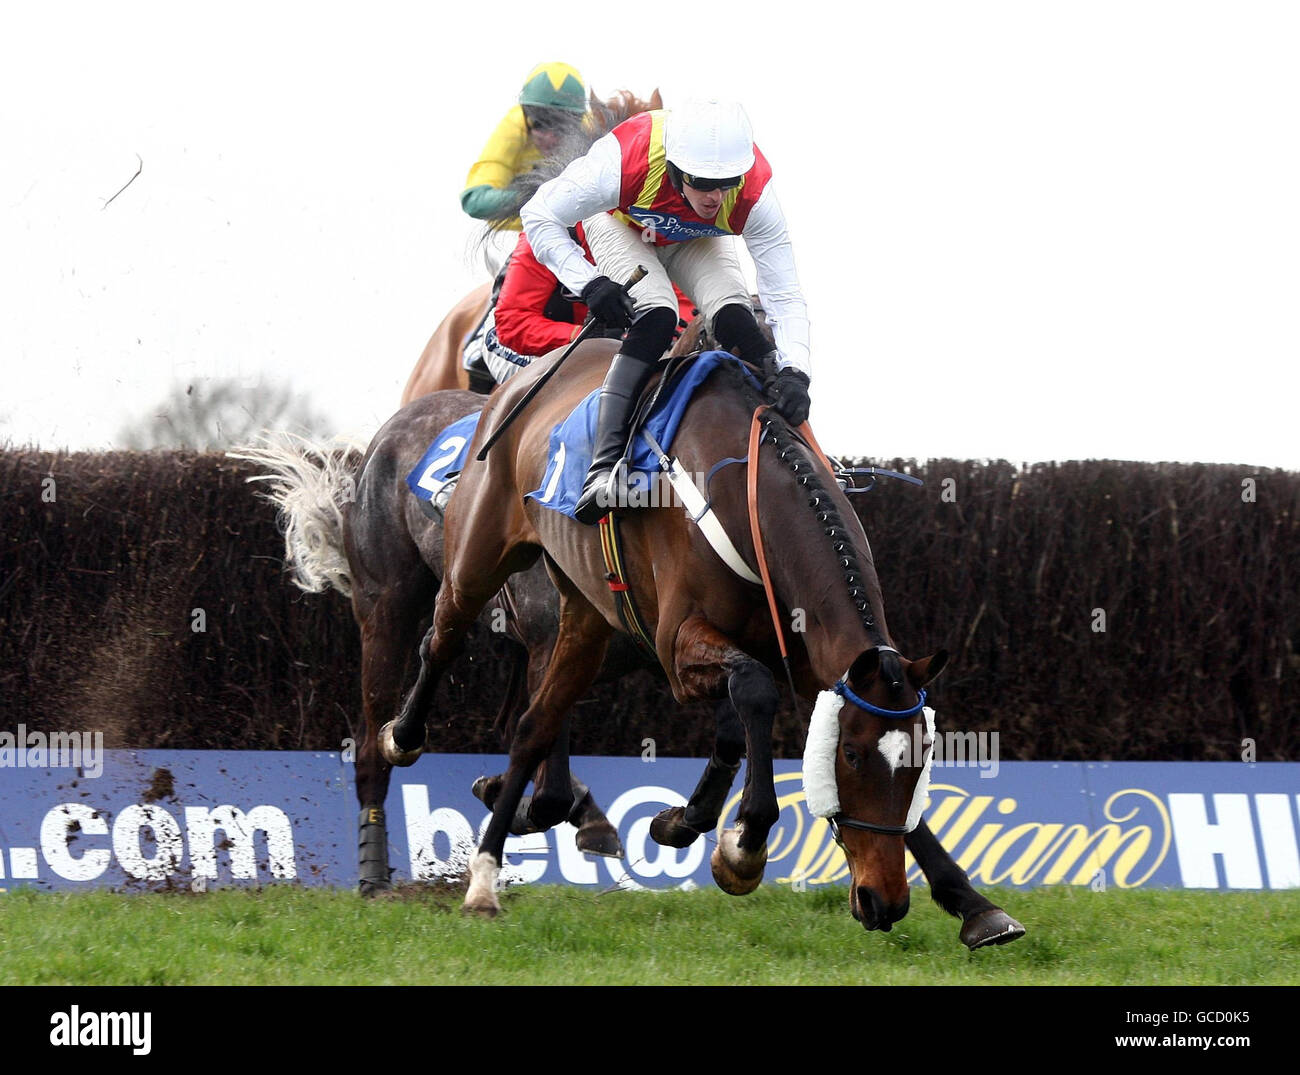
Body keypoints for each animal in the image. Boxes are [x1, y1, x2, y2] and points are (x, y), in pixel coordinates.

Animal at [374, 338, 1025, 943]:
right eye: (852, 757)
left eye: (922, 762)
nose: (883, 901)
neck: (749, 495)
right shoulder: (677, 640)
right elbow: (756, 691)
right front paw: (743, 844)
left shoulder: (815, 656)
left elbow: (749, 725)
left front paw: (974, 905)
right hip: (477, 555)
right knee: (442, 637)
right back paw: (407, 744)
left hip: (585, 610)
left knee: (536, 723)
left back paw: (492, 860)